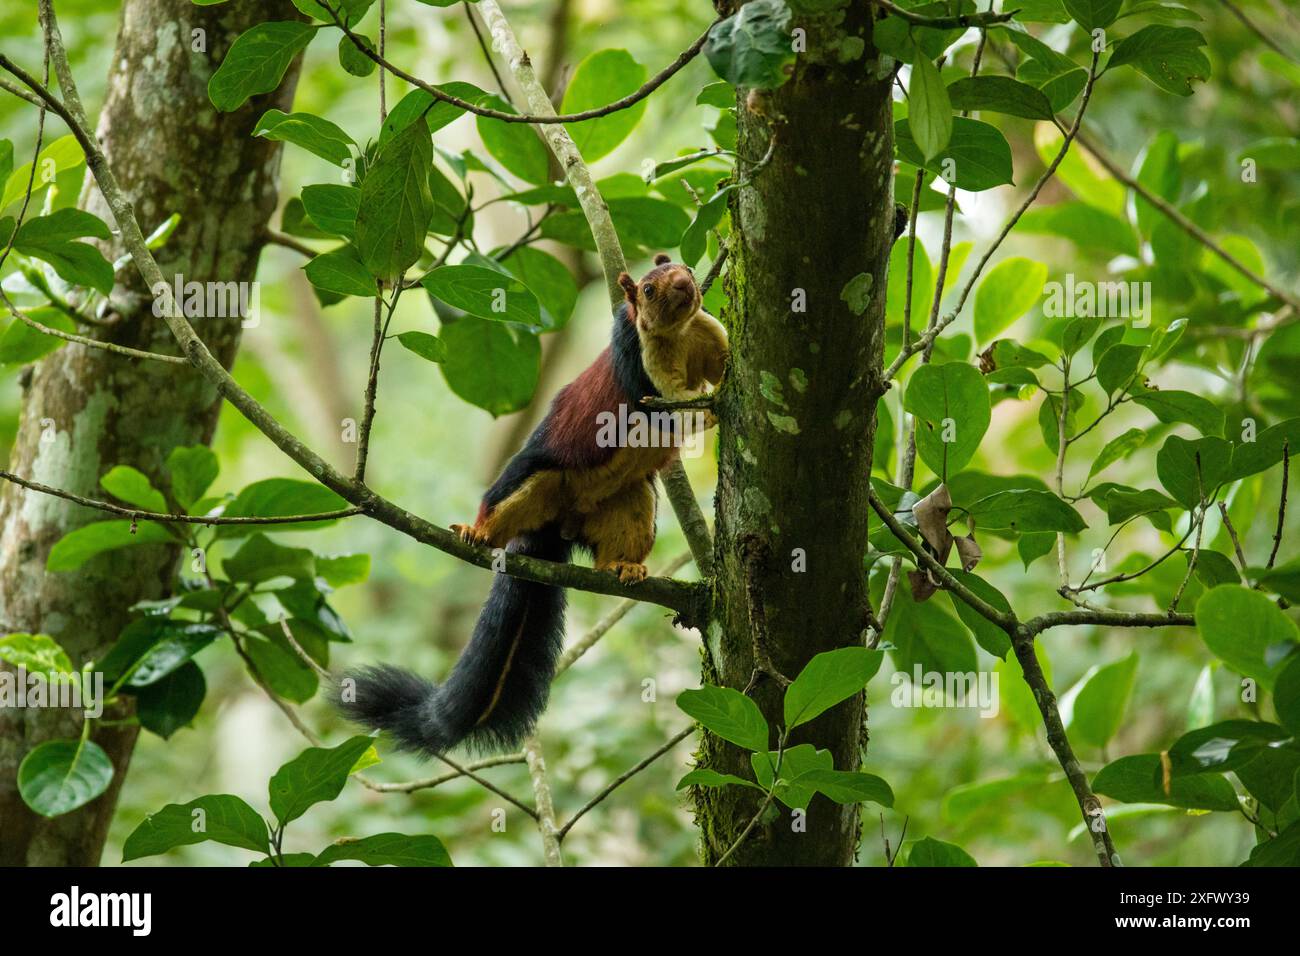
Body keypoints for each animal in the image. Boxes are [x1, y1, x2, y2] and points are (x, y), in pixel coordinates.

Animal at [341, 254, 728, 756]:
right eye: (647, 289)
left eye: (684, 266)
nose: (684, 282)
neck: (677, 334)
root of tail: (553, 530)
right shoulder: (640, 369)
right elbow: (674, 406)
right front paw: (716, 401)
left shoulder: (706, 332)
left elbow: (720, 363)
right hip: (534, 478)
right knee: (504, 500)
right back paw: (480, 531)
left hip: (631, 502)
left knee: (614, 547)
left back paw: (623, 566)